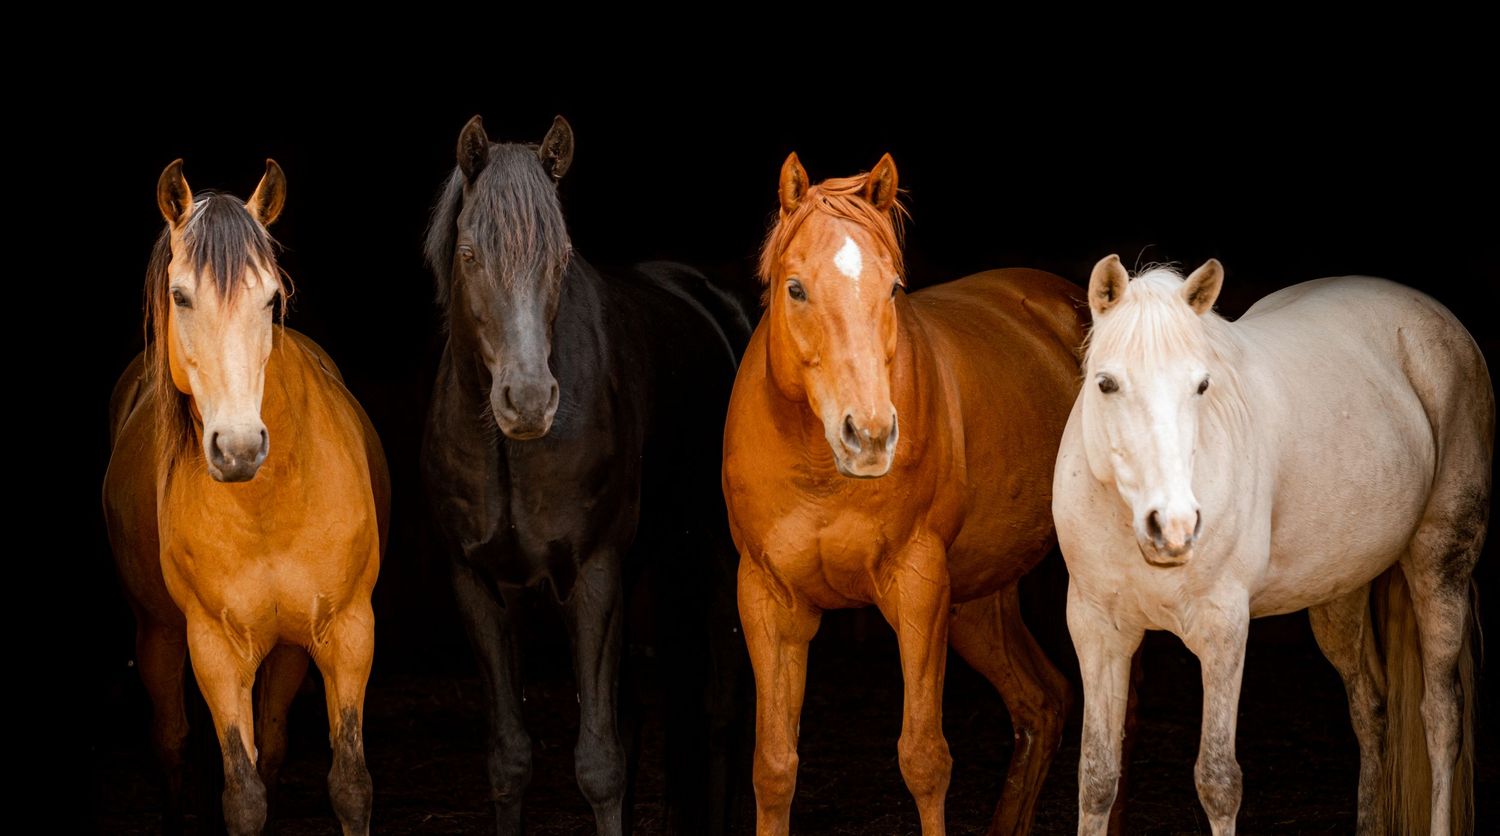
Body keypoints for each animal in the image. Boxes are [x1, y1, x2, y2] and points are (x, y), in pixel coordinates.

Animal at [103, 160, 390, 835]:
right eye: (181, 296)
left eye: (271, 299)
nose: (237, 447)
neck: (271, 506)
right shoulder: (216, 650)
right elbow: (242, 792)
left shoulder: (348, 631)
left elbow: (350, 784)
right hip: (158, 635)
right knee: (172, 741)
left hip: (288, 650)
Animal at [421, 115, 752, 836]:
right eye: (469, 255)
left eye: (561, 257)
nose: (527, 400)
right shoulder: (478, 585)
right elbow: (510, 760)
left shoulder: (596, 573)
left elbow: (600, 763)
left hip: (717, 556)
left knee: (720, 710)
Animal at [722, 152, 1093, 835]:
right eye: (796, 288)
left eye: (892, 288)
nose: (869, 435)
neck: (820, 474)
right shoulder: (768, 599)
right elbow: (775, 766)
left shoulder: (919, 587)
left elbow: (924, 759)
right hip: (979, 601)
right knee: (1044, 702)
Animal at [1054, 256, 1492, 835]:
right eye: (1106, 383)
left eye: (1202, 385)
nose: (1174, 527)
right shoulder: (1097, 630)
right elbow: (1098, 776)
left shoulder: (1223, 630)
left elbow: (1218, 781)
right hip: (1338, 595)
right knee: (1370, 710)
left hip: (1441, 565)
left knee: (1442, 719)